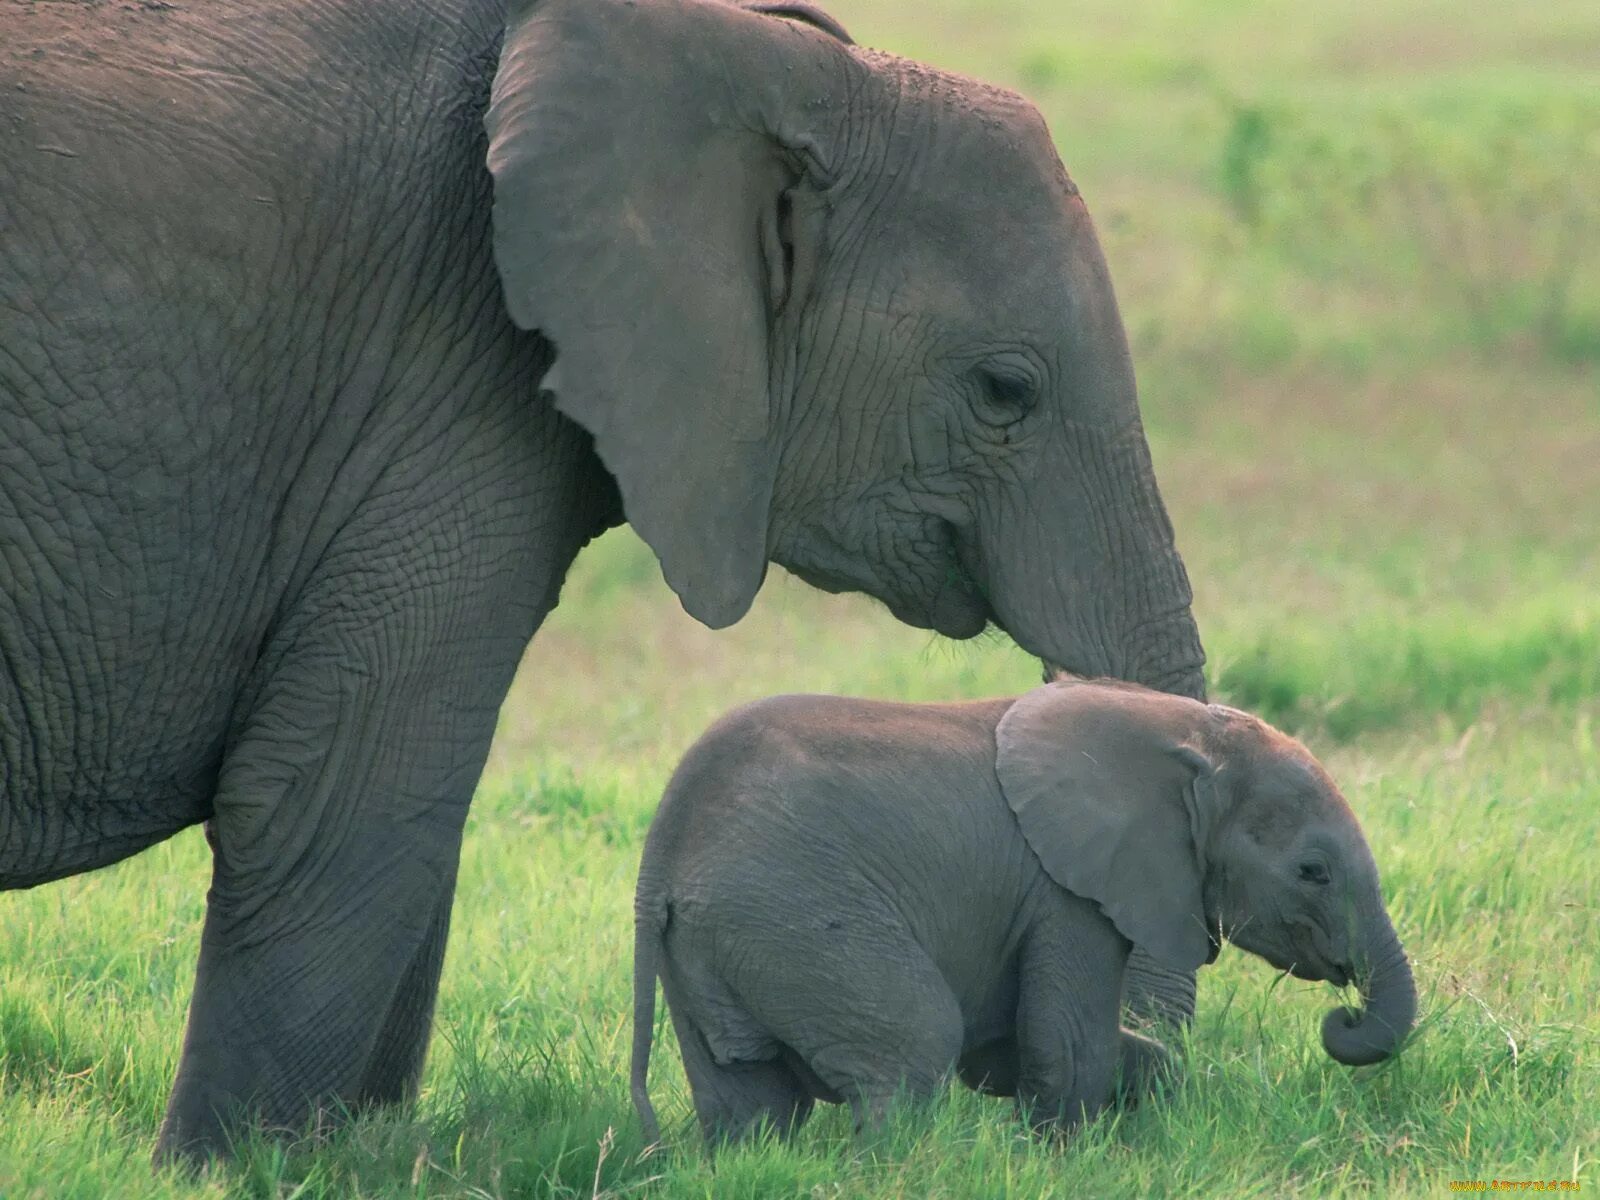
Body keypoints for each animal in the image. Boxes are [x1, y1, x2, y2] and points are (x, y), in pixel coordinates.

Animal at [0, 0, 1203, 1171]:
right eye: (1005, 391)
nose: (1142, 1075)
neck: (775, 63)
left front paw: (365, 1152)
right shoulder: (443, 383)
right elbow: (341, 799)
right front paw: (230, 1173)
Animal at [630, 678, 1420, 1145]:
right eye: (1312, 872)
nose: (1345, 1015)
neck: (1188, 736)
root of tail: (661, 854)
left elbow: (1019, 1049)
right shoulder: (1067, 890)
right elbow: (1065, 1046)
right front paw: (1064, 1161)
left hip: (713, 943)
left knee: (748, 1101)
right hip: (792, 914)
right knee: (912, 1048)